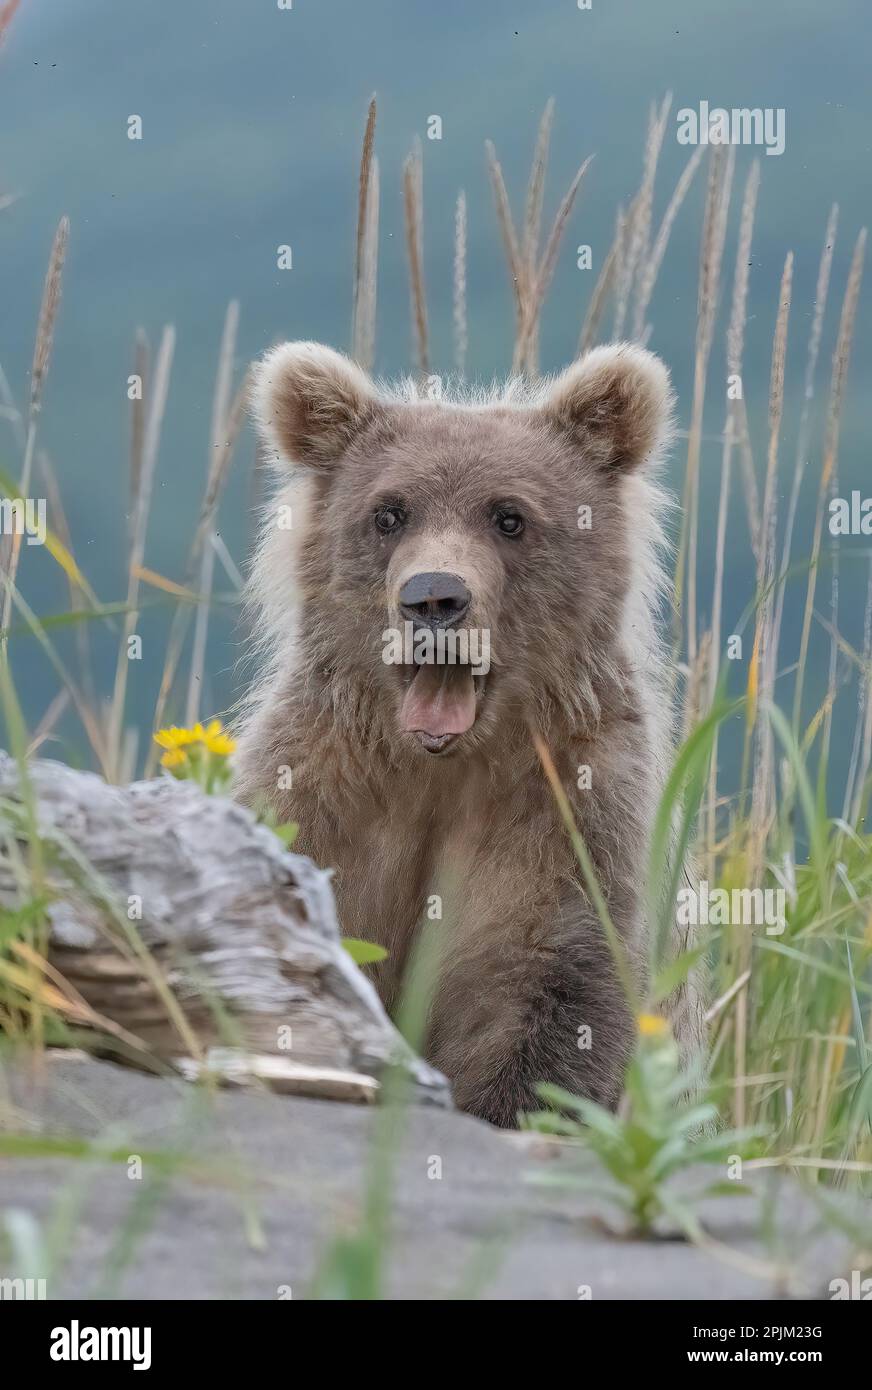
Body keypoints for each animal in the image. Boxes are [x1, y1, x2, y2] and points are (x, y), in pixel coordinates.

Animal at [234, 340, 702, 1127]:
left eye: (508, 517)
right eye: (389, 513)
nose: (433, 598)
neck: (439, 765)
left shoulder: (566, 814)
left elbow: (542, 994)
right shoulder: (320, 790)